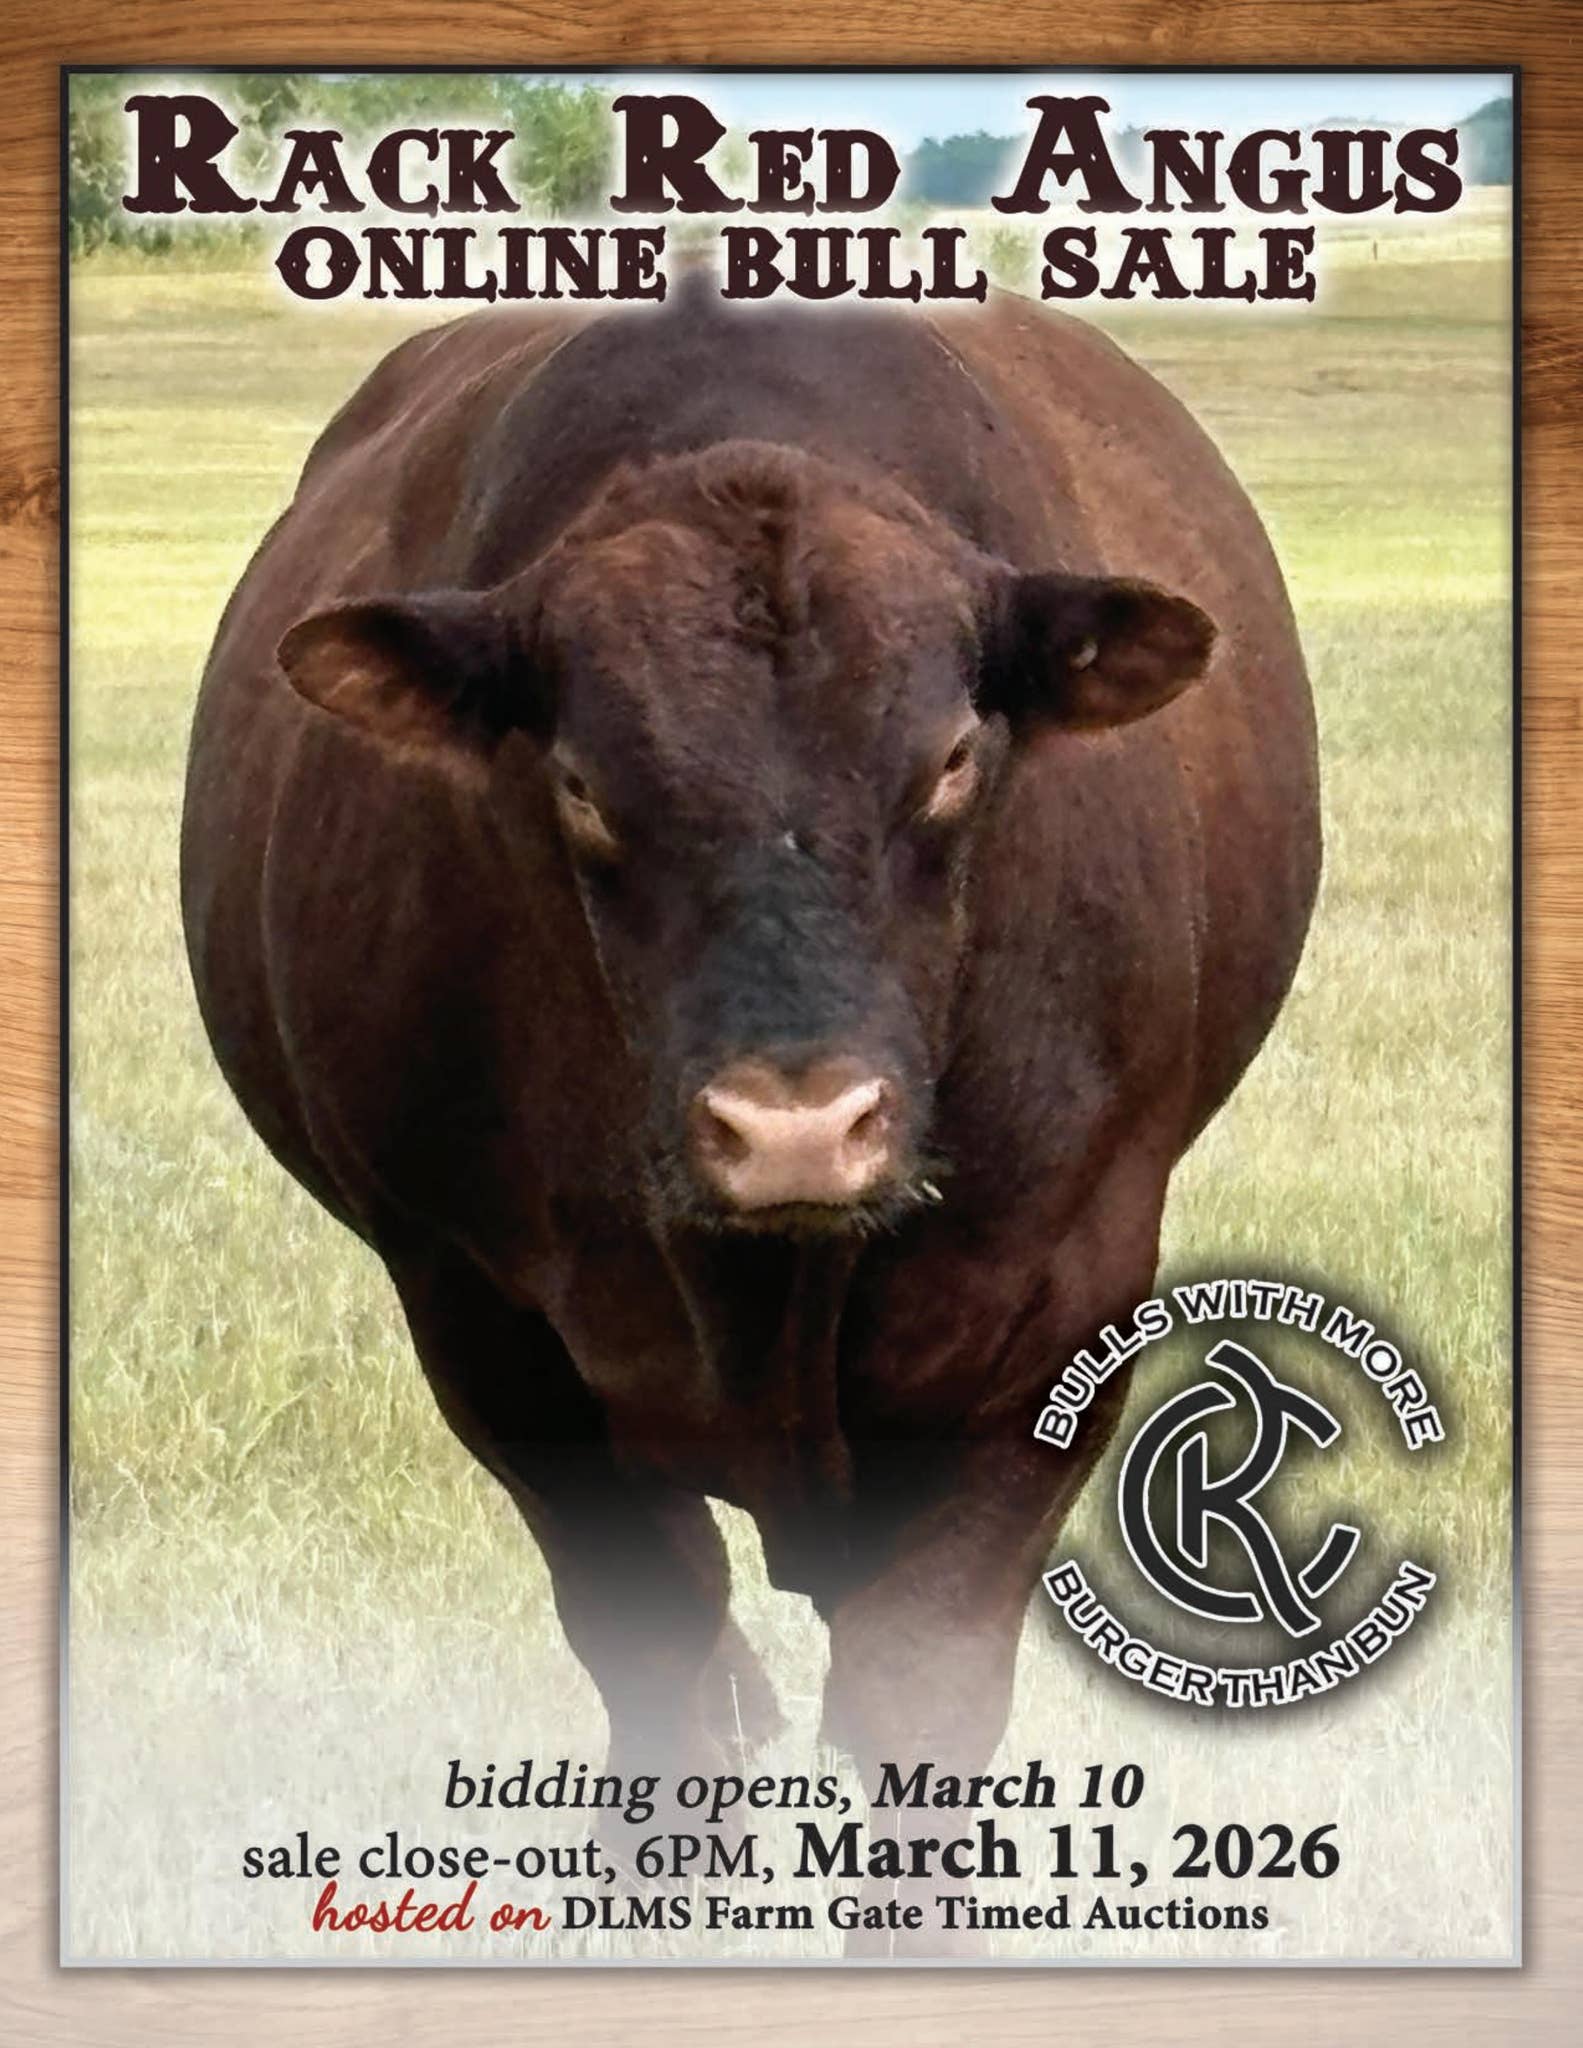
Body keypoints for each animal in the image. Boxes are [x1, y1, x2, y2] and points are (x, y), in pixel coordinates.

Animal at [181, 272, 1319, 1931]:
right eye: (579, 784)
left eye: (953, 760)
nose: (794, 1129)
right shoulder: (479, 1316)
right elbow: (652, 1648)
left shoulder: (1061, 1301)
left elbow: (917, 1695)